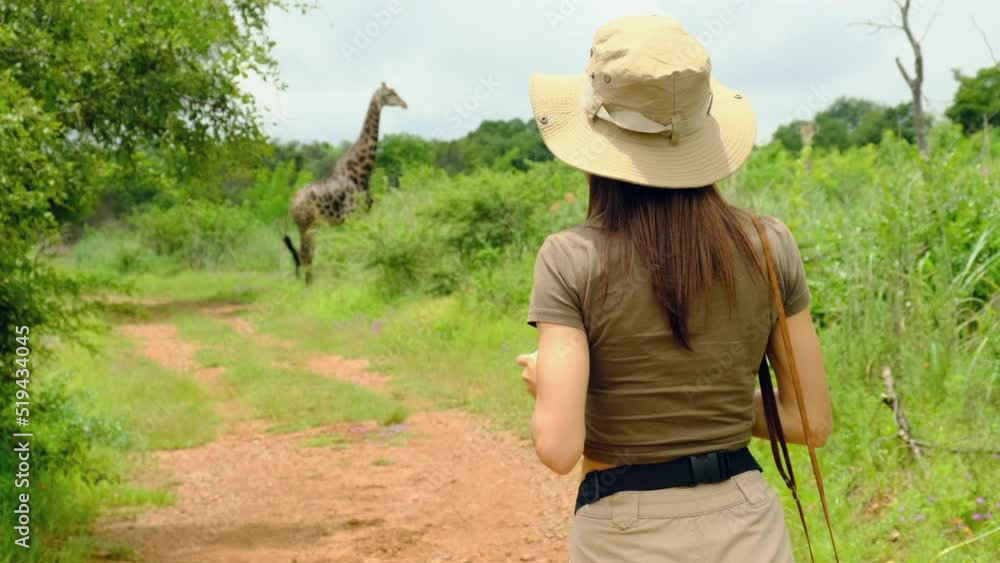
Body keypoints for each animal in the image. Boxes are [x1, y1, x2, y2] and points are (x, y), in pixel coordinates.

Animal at [284, 82, 407, 285]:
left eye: (395, 92)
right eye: (390, 94)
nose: (405, 104)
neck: (361, 171)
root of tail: (291, 205)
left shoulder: (362, 215)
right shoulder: (353, 216)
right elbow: (353, 249)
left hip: (312, 225)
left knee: (307, 254)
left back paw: (310, 285)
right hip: (306, 225)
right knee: (304, 254)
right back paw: (309, 287)